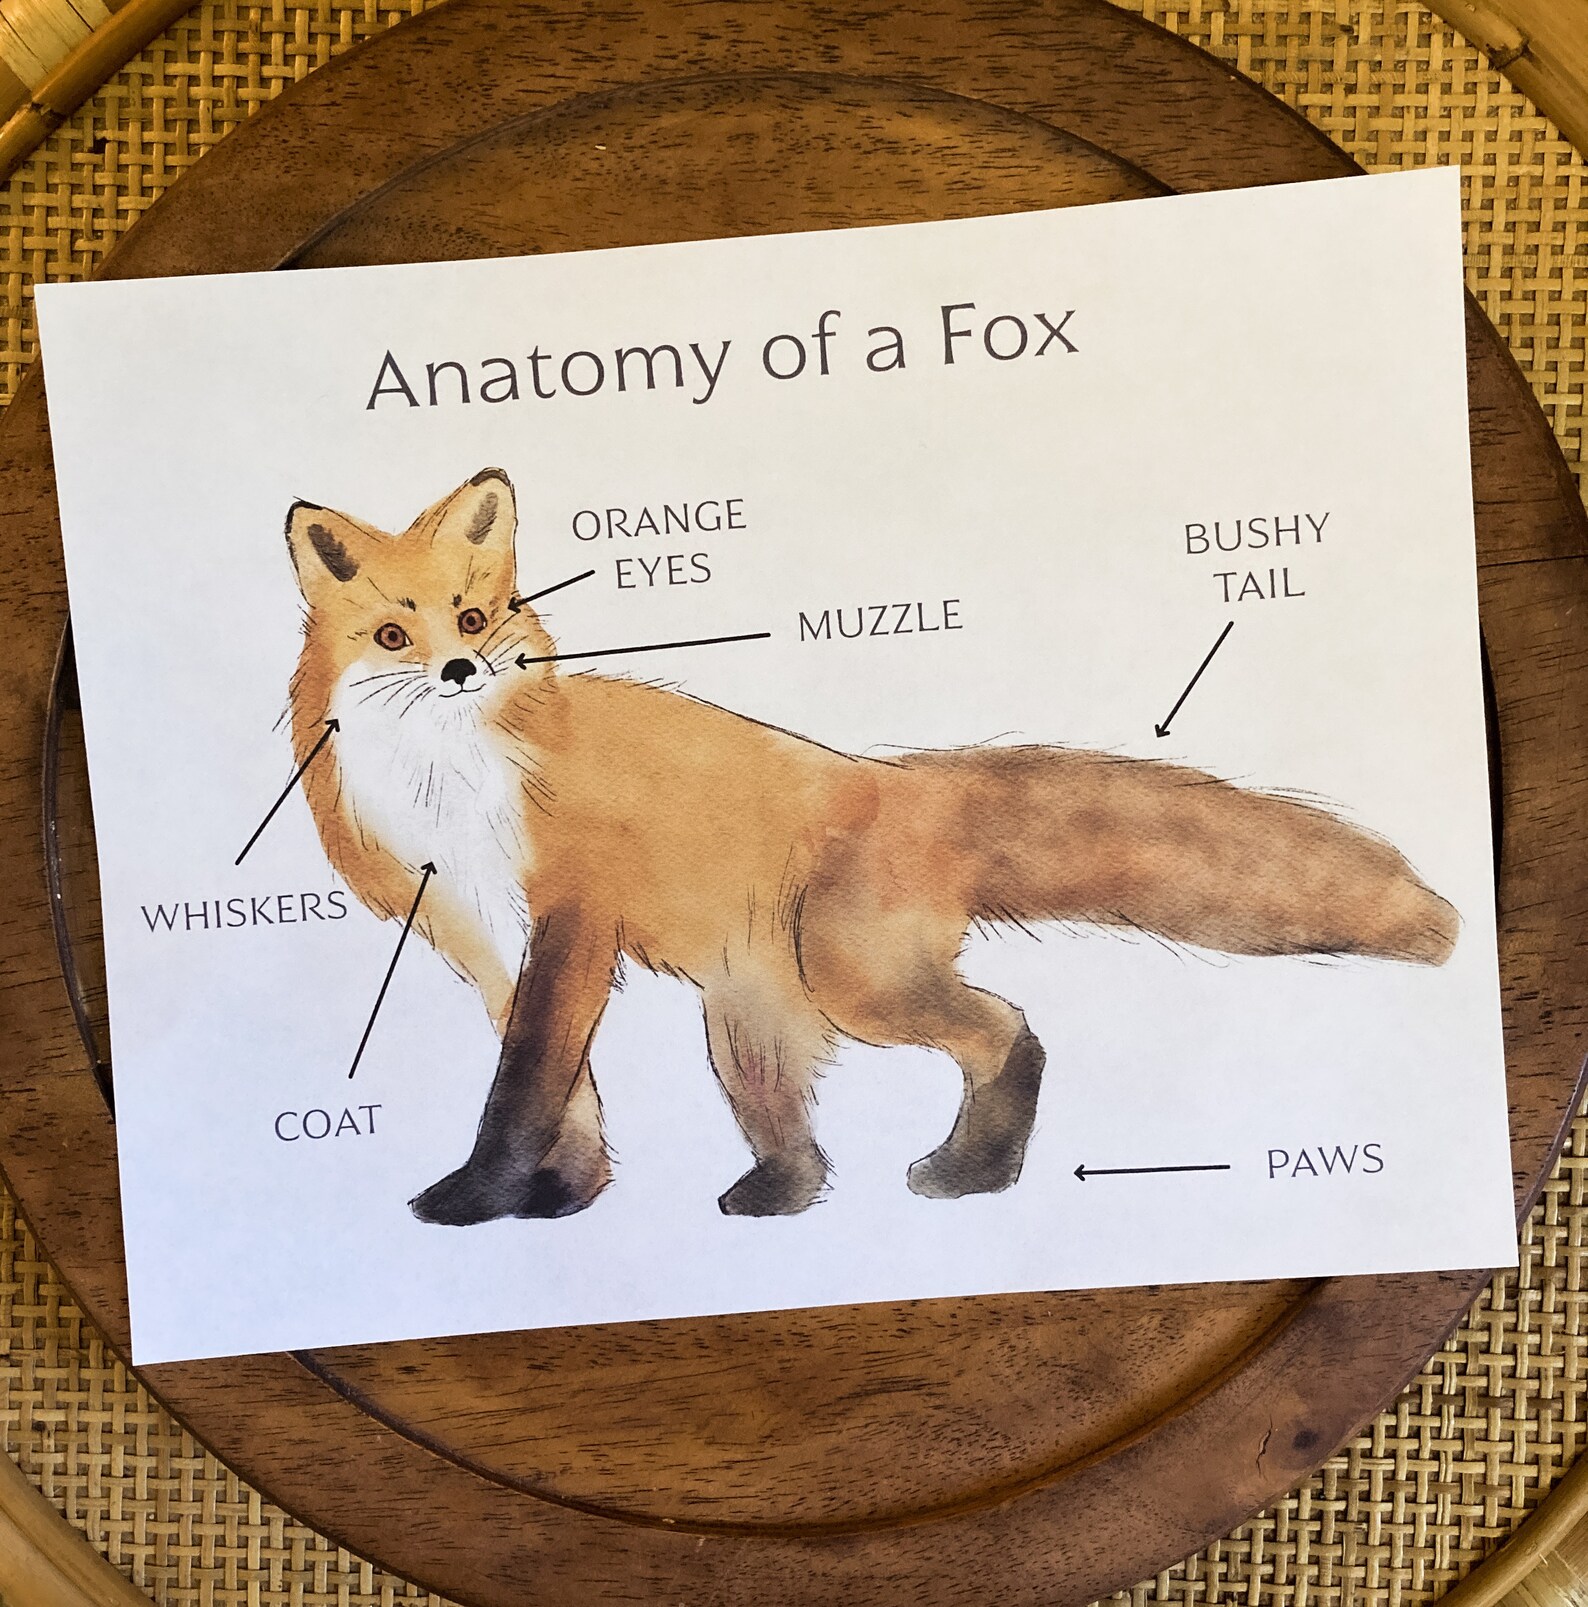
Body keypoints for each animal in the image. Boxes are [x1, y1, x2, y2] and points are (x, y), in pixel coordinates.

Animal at [284, 468, 1460, 1224]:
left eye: (474, 618)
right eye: (393, 633)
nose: (458, 672)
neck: (446, 785)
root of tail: (879, 777)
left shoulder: (570, 919)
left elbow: (522, 1085)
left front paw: (477, 1199)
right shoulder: (480, 939)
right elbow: (561, 1092)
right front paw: (564, 1195)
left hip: (853, 981)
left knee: (1007, 1029)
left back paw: (972, 1173)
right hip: (751, 1021)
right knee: (803, 1133)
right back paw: (780, 1193)